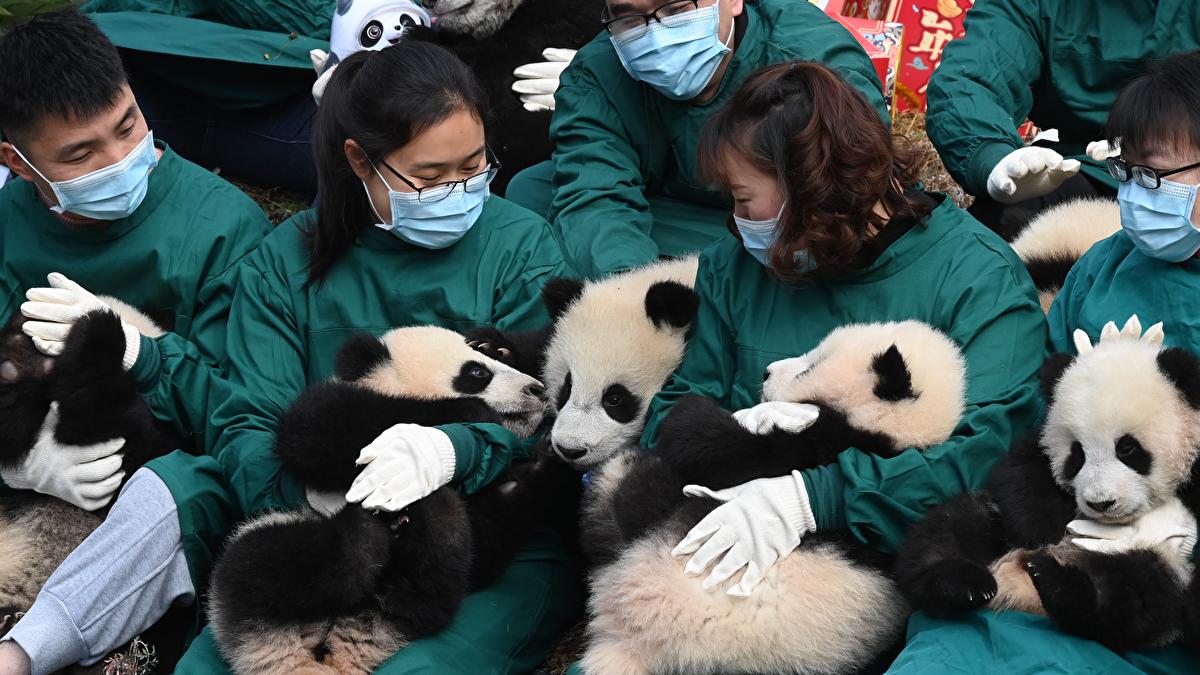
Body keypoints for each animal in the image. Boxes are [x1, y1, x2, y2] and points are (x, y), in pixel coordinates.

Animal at [208, 325, 571, 675]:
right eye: (477, 372)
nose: (537, 390)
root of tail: (333, 654)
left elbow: (482, 550)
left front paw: (544, 458)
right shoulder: (334, 409)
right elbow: (320, 427)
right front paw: (471, 413)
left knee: (427, 588)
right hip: (262, 541)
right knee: (272, 564)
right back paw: (365, 530)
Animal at [577, 320, 968, 675]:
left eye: (811, 366)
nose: (766, 372)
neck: (894, 433)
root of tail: (629, 644)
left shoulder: (825, 447)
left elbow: (713, 446)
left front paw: (713, 412)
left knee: (640, 483)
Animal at [896, 316, 1200, 652]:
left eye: (1127, 449)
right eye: (1077, 454)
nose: (1100, 503)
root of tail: (1021, 591)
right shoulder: (1040, 443)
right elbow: (1021, 474)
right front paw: (1038, 531)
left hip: (1154, 567)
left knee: (1136, 599)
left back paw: (1057, 581)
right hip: (986, 525)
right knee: (948, 532)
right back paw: (964, 584)